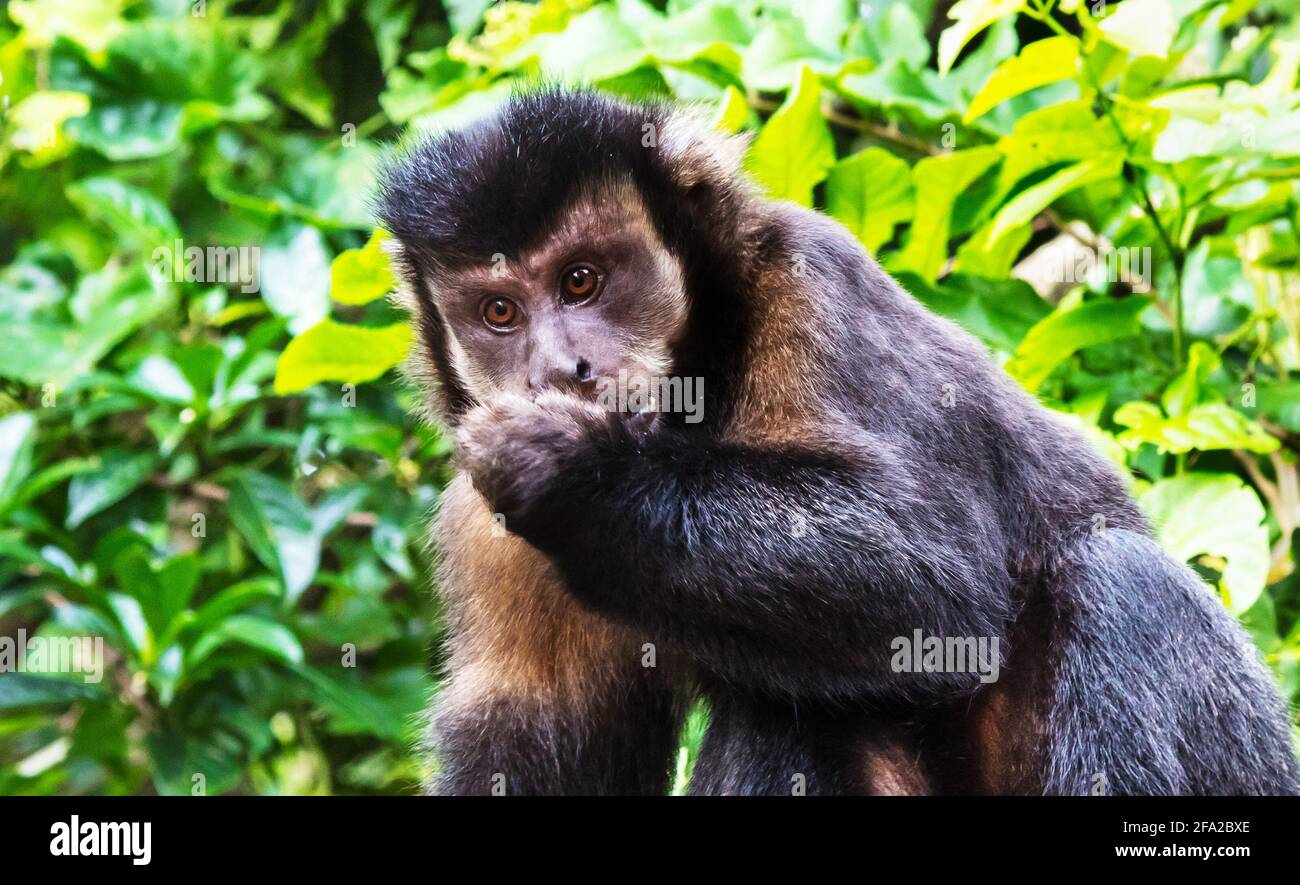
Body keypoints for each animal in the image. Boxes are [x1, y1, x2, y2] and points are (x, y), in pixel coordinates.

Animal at [376, 87, 1300, 796]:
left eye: (581, 281)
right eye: (499, 313)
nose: (561, 368)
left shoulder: (811, 283)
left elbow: (939, 580)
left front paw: (577, 474)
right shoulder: (482, 524)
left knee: (1123, 579)